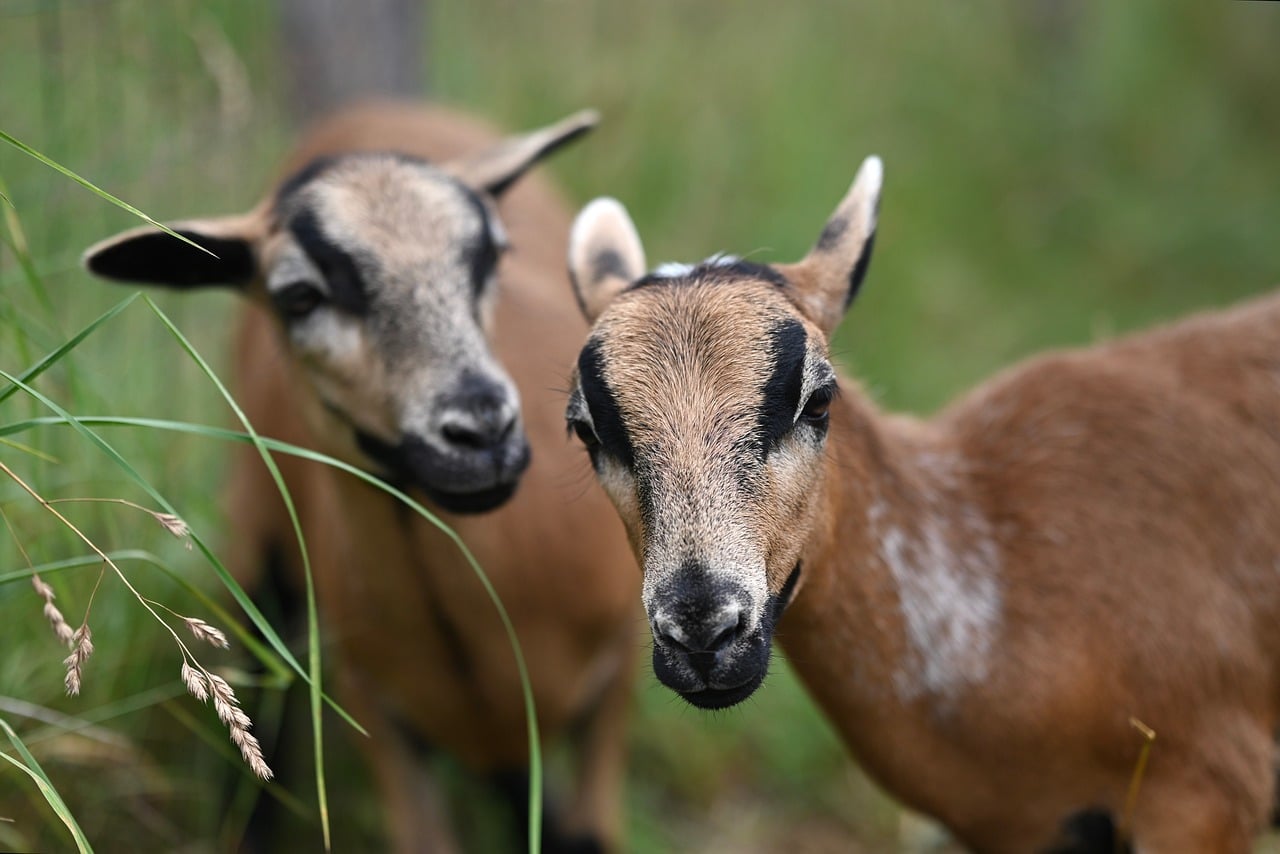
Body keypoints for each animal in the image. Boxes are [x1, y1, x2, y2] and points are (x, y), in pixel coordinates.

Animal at [82, 101, 638, 853]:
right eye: (299, 296)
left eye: (490, 258)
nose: (482, 433)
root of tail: (370, 107)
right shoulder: (379, 707)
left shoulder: (616, 675)